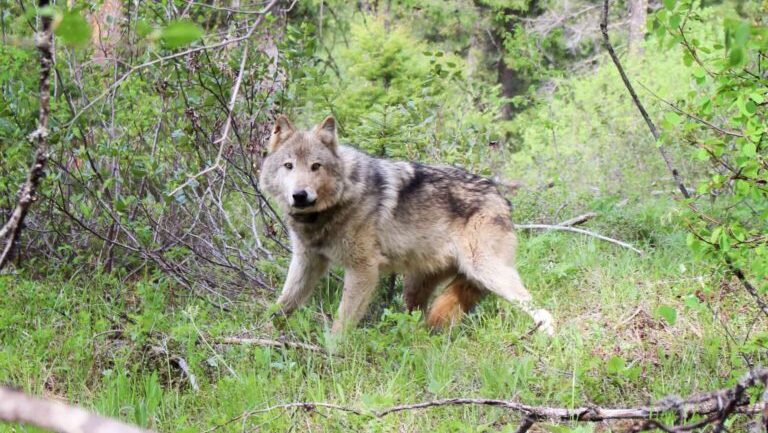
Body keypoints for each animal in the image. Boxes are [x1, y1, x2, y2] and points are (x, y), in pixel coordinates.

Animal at [259, 115, 554, 335]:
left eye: (315, 166)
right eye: (288, 166)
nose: (300, 195)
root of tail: (502, 198)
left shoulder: (364, 270)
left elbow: (342, 323)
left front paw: (332, 353)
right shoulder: (307, 261)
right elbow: (282, 304)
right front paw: (260, 335)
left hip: (487, 272)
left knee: (541, 309)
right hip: (416, 287)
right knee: (418, 321)